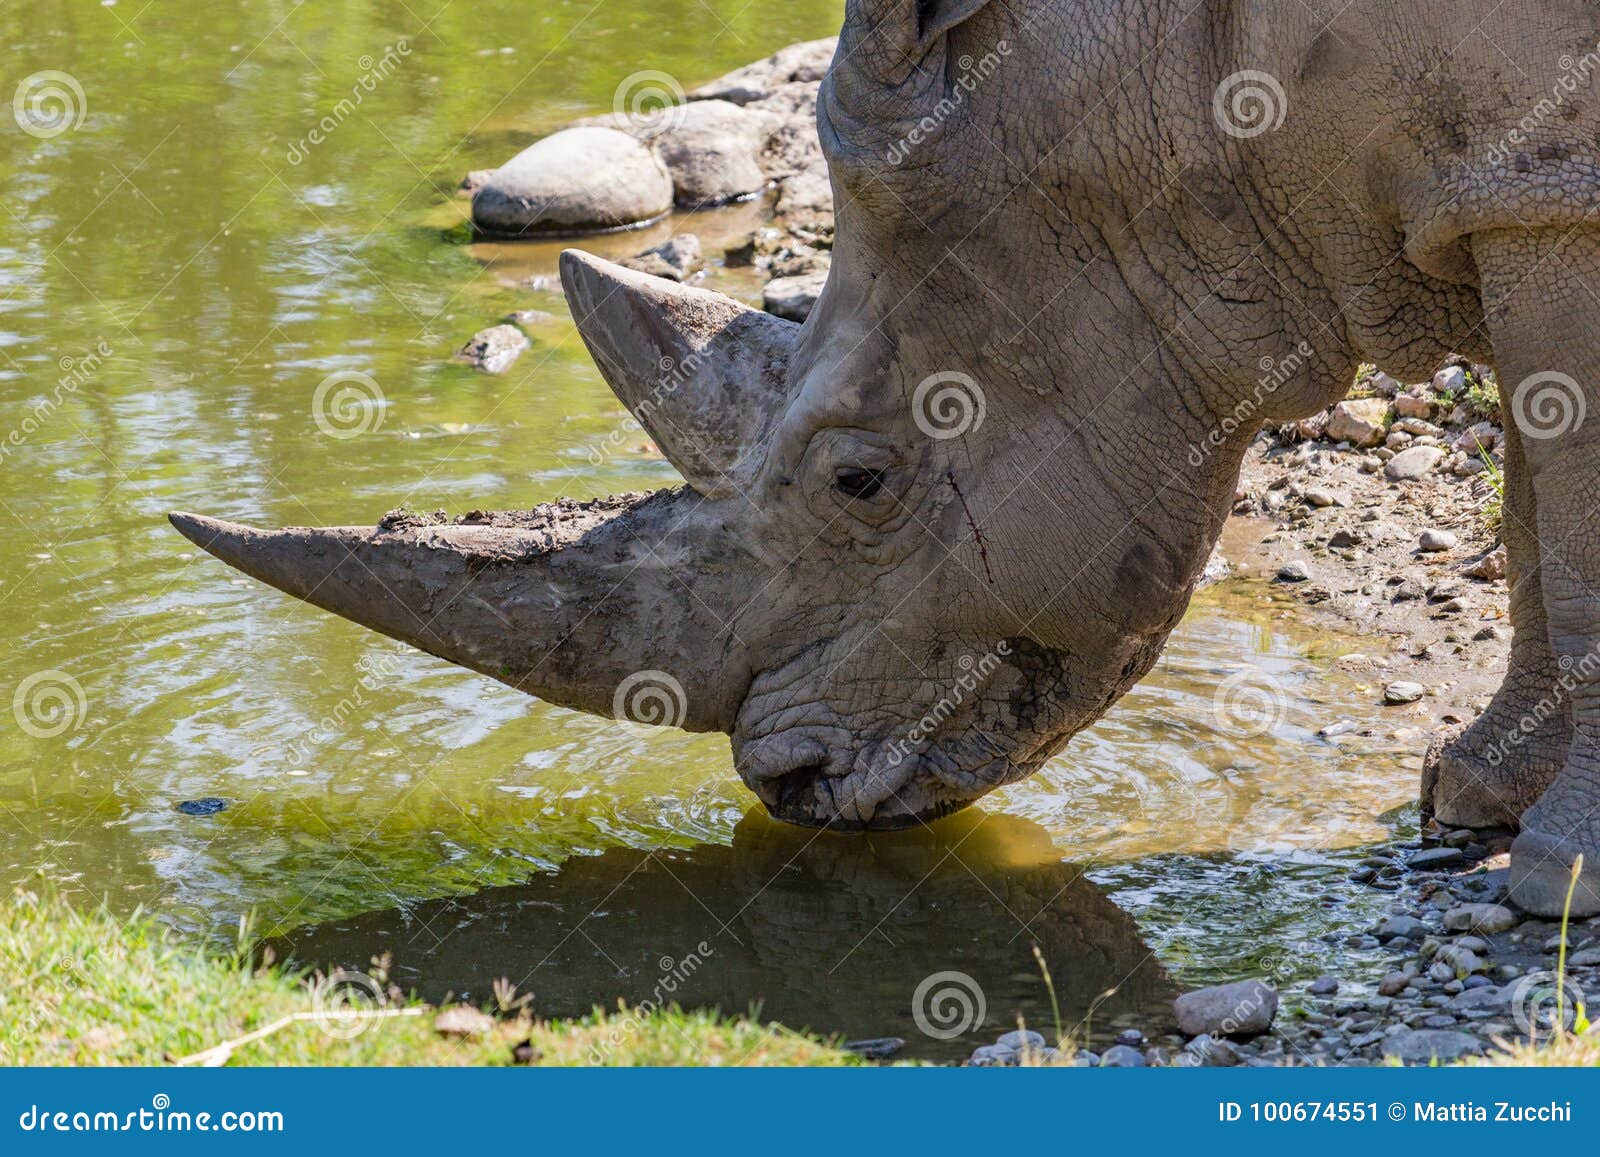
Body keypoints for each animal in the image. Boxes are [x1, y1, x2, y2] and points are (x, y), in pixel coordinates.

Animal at [172, 0, 1600, 915]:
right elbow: (1536, 508)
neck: (1186, 90)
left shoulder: (1540, 184)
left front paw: (1552, 876)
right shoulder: (1504, 184)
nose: (788, 788)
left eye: (859, 482)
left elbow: (1572, 533)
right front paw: (1474, 796)